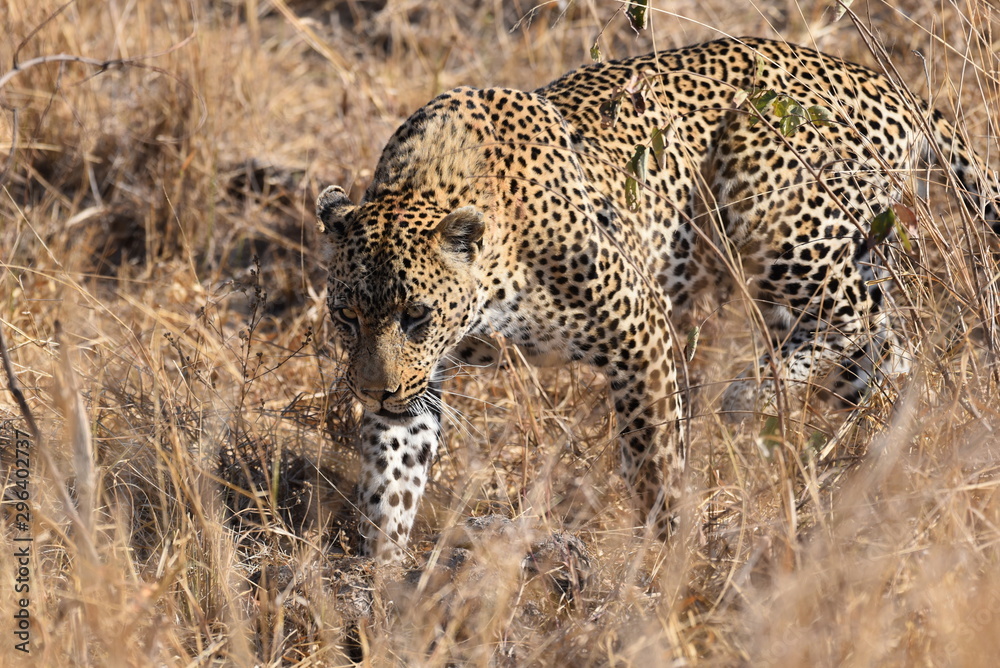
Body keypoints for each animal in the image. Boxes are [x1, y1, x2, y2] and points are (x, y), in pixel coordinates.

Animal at [315, 37, 998, 562]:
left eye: (416, 316)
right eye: (347, 317)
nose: (373, 391)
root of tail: (882, 80)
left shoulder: (636, 330)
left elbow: (653, 459)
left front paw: (666, 556)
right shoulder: (418, 380)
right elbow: (393, 471)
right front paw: (380, 574)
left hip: (772, 217)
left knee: (853, 318)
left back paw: (754, 394)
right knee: (887, 346)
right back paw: (882, 444)